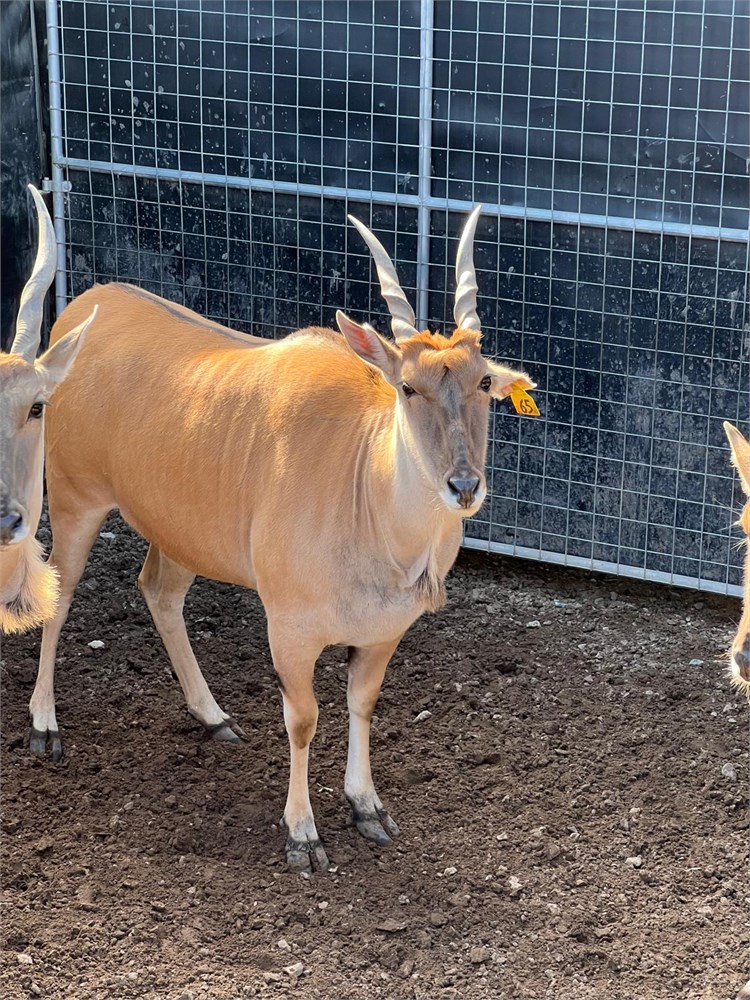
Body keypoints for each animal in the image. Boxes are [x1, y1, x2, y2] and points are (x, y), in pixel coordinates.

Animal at [29, 207, 536, 870]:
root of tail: (84, 307)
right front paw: (302, 833)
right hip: (73, 500)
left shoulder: (382, 634)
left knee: (159, 591)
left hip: (180, 534)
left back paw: (212, 716)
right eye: (408, 386)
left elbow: (361, 704)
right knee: (59, 598)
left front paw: (367, 808)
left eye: (482, 383)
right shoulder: (290, 631)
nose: (464, 486)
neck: (364, 494)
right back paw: (44, 725)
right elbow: (303, 719)